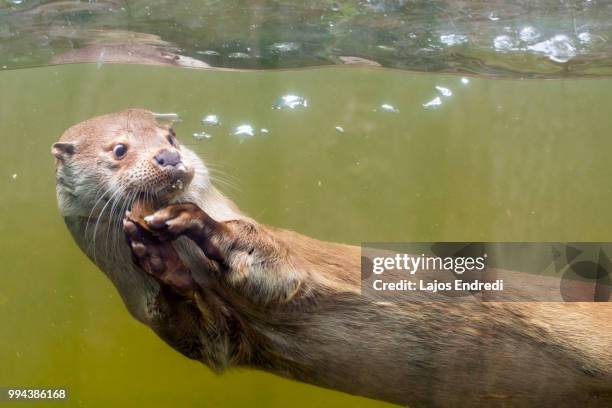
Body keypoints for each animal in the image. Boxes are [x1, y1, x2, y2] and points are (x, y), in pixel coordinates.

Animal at [53, 109, 612, 408]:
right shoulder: (193, 324)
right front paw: (156, 256)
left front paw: (193, 220)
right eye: (120, 149)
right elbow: (210, 336)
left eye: (170, 137)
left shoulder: (291, 262)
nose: (170, 158)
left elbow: (270, 263)